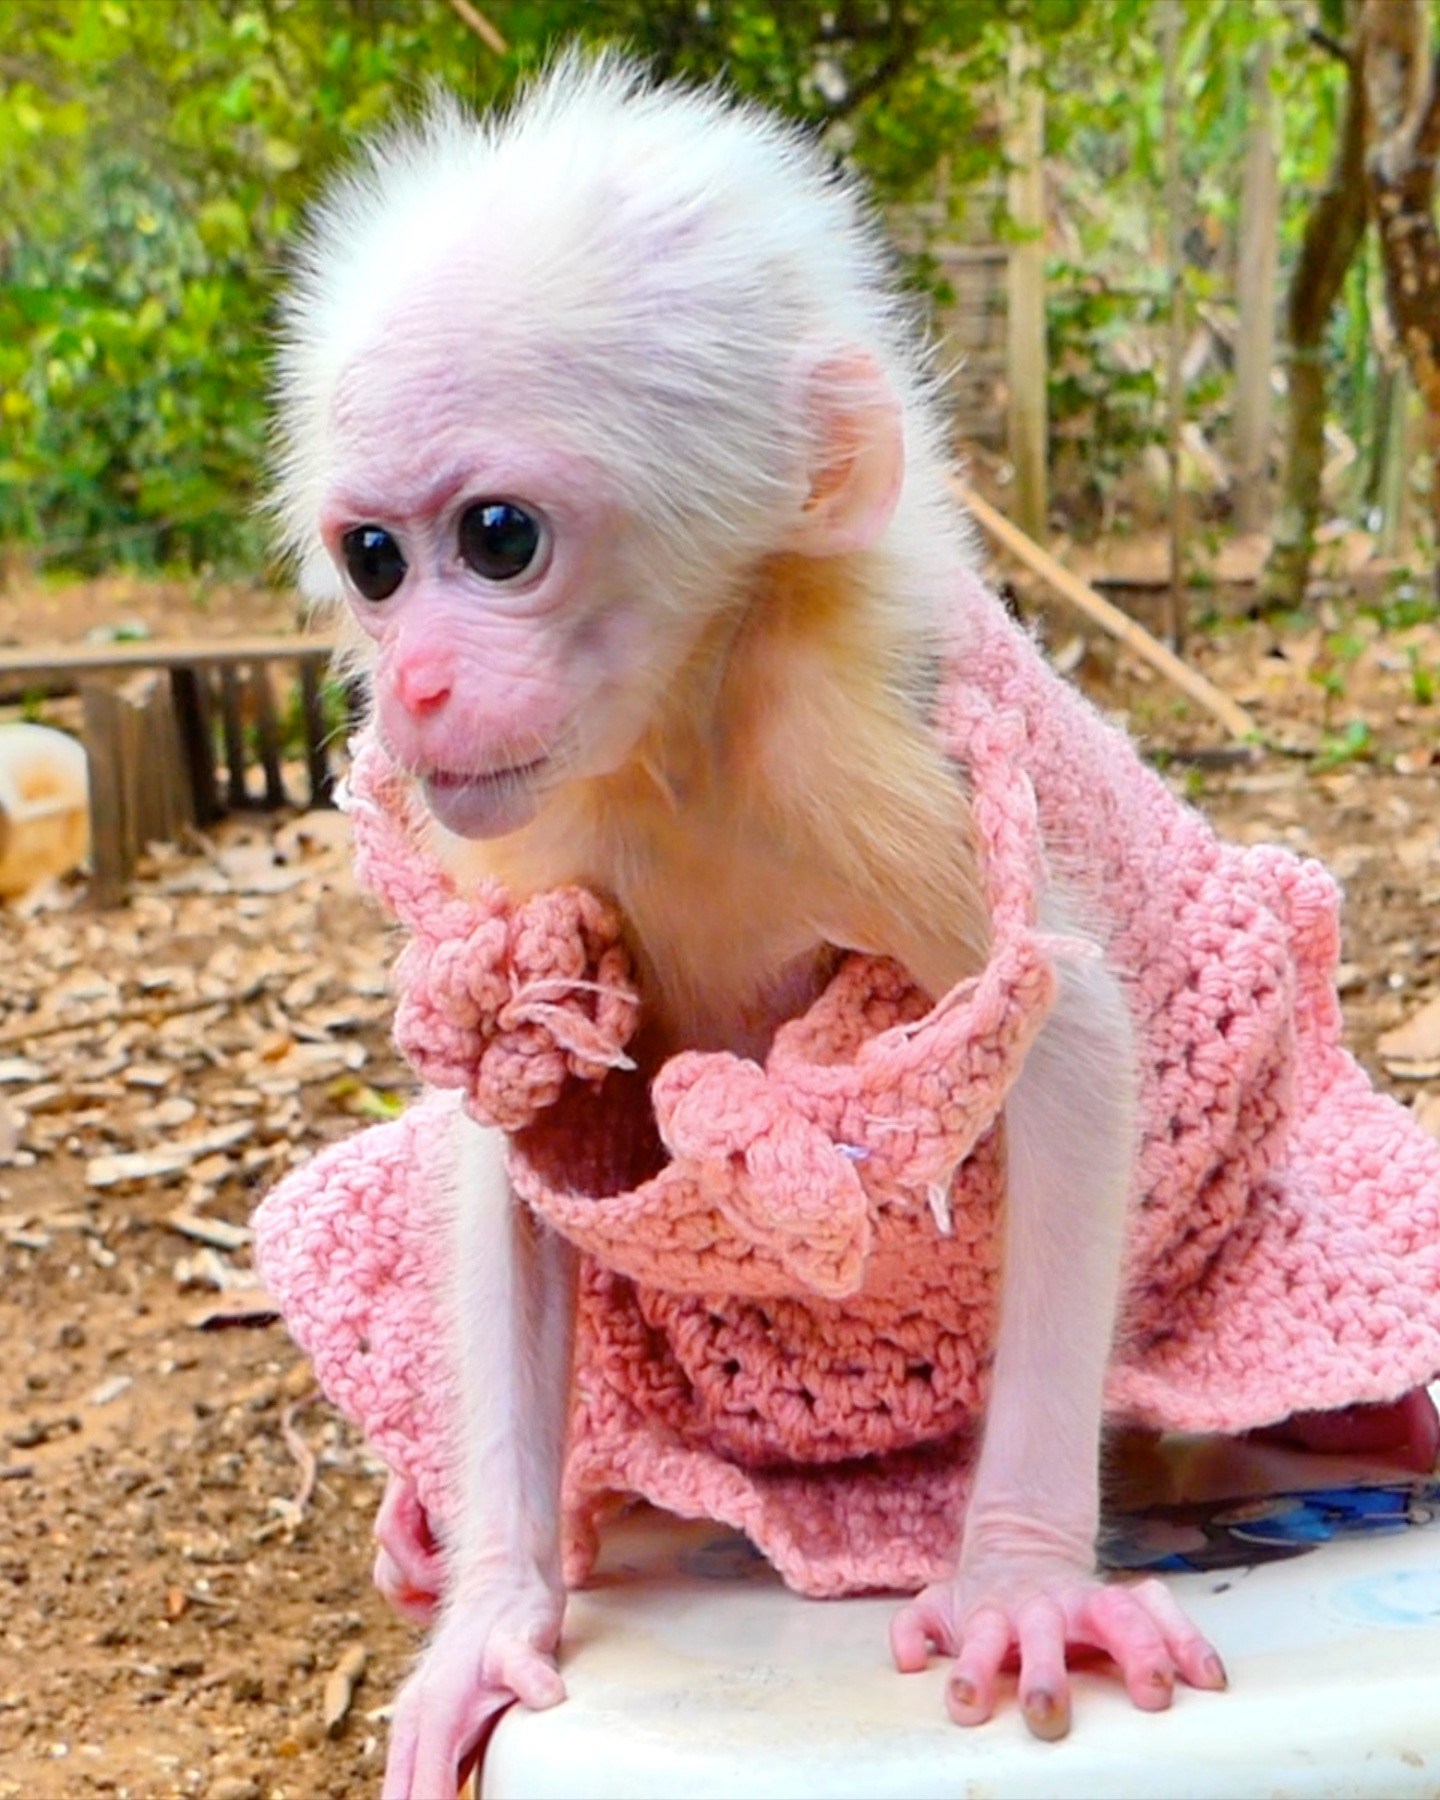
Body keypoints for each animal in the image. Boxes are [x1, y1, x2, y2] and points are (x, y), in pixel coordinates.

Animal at [267, 53, 1440, 1800]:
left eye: (496, 538)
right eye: (372, 560)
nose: (409, 687)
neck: (676, 739)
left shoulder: (854, 755)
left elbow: (1070, 1035)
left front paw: (1021, 1582)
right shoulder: (524, 844)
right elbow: (514, 1136)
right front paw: (489, 1608)